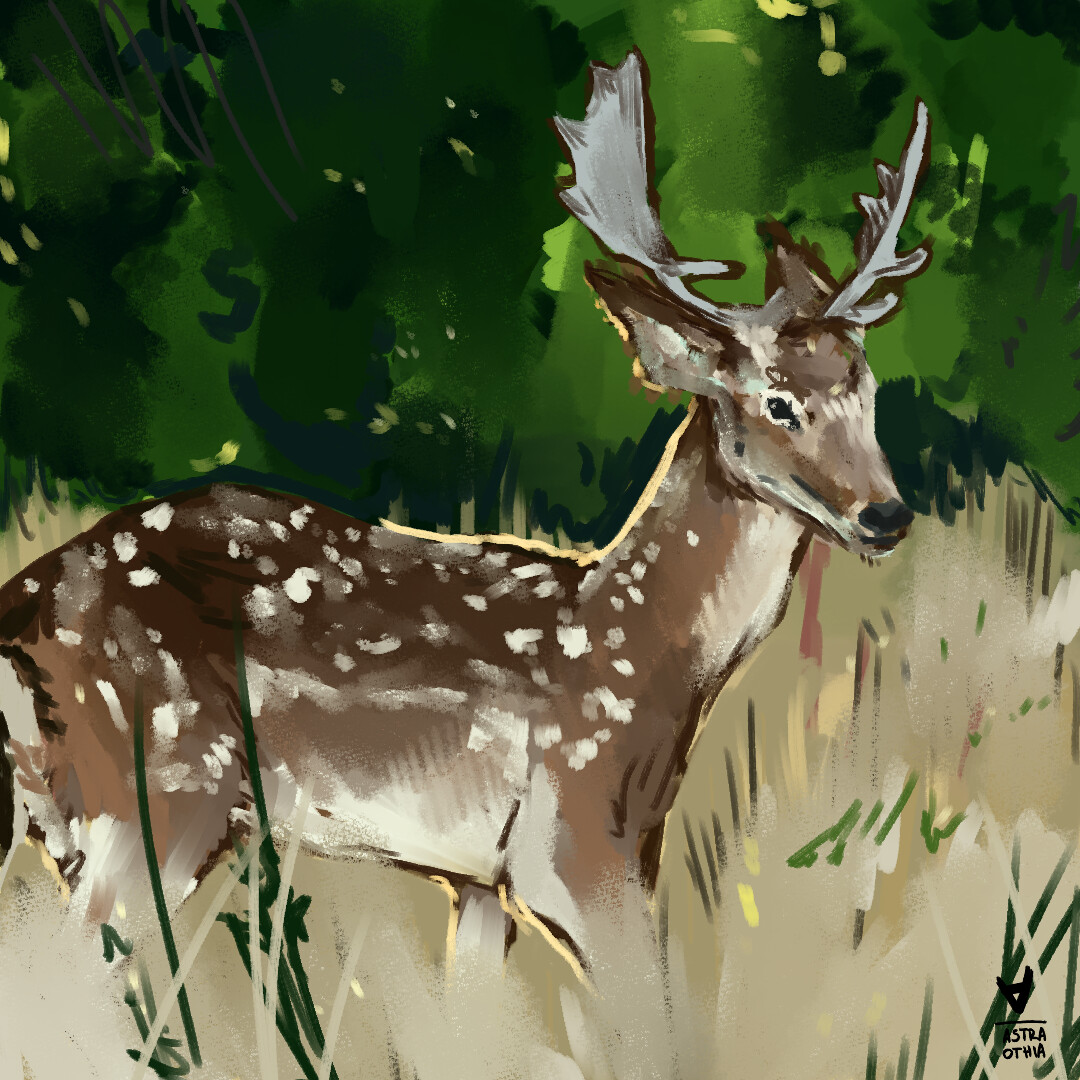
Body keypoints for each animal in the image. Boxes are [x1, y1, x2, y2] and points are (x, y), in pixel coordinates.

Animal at [0, 49, 929, 978]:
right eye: (778, 403)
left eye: (869, 391)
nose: (886, 515)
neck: (649, 660)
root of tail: (22, 602)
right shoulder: (576, 845)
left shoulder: (482, 882)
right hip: (158, 791)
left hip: (63, 815)